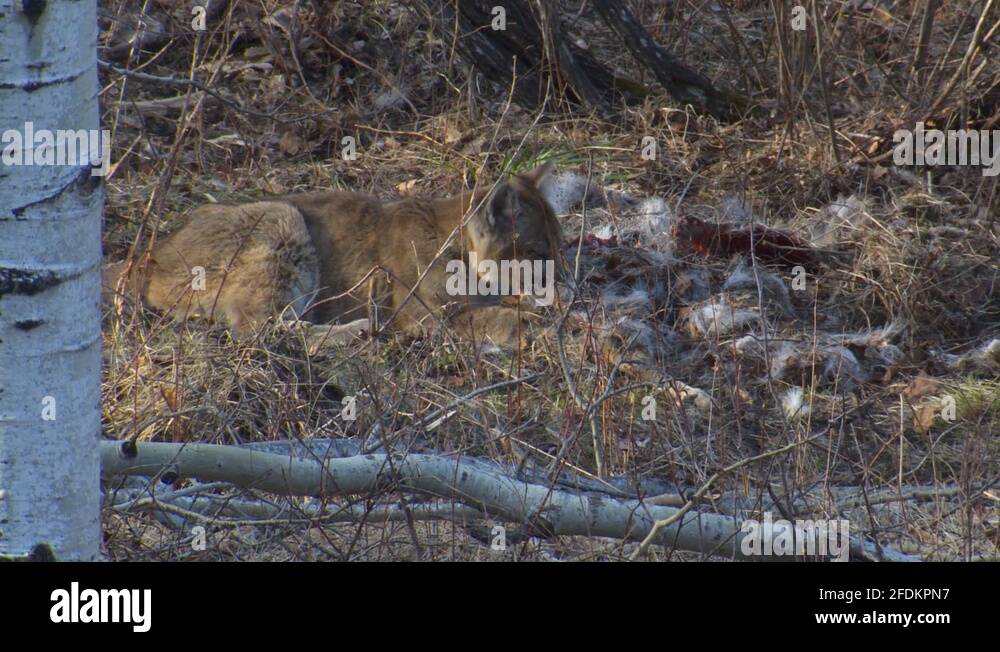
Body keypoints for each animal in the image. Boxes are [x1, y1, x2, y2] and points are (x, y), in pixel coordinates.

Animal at [105, 164, 562, 348]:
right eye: (538, 253)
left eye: (561, 247)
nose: (561, 286)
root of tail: (148, 252)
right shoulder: (429, 316)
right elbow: (497, 318)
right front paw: (548, 328)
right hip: (281, 216)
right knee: (259, 328)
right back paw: (358, 330)